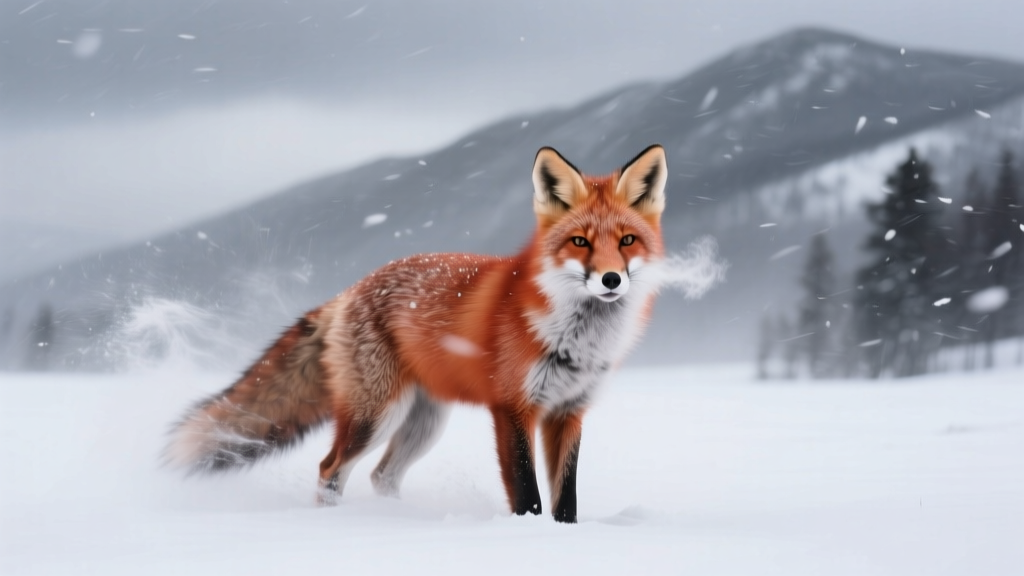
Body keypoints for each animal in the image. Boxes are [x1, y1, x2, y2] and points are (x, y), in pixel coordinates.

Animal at [166, 144, 669, 523]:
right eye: (580, 242)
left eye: (627, 241)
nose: (610, 280)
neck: (575, 338)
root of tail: (350, 289)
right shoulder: (513, 408)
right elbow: (527, 495)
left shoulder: (569, 411)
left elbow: (567, 500)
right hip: (375, 415)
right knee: (331, 466)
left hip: (424, 422)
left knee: (382, 475)